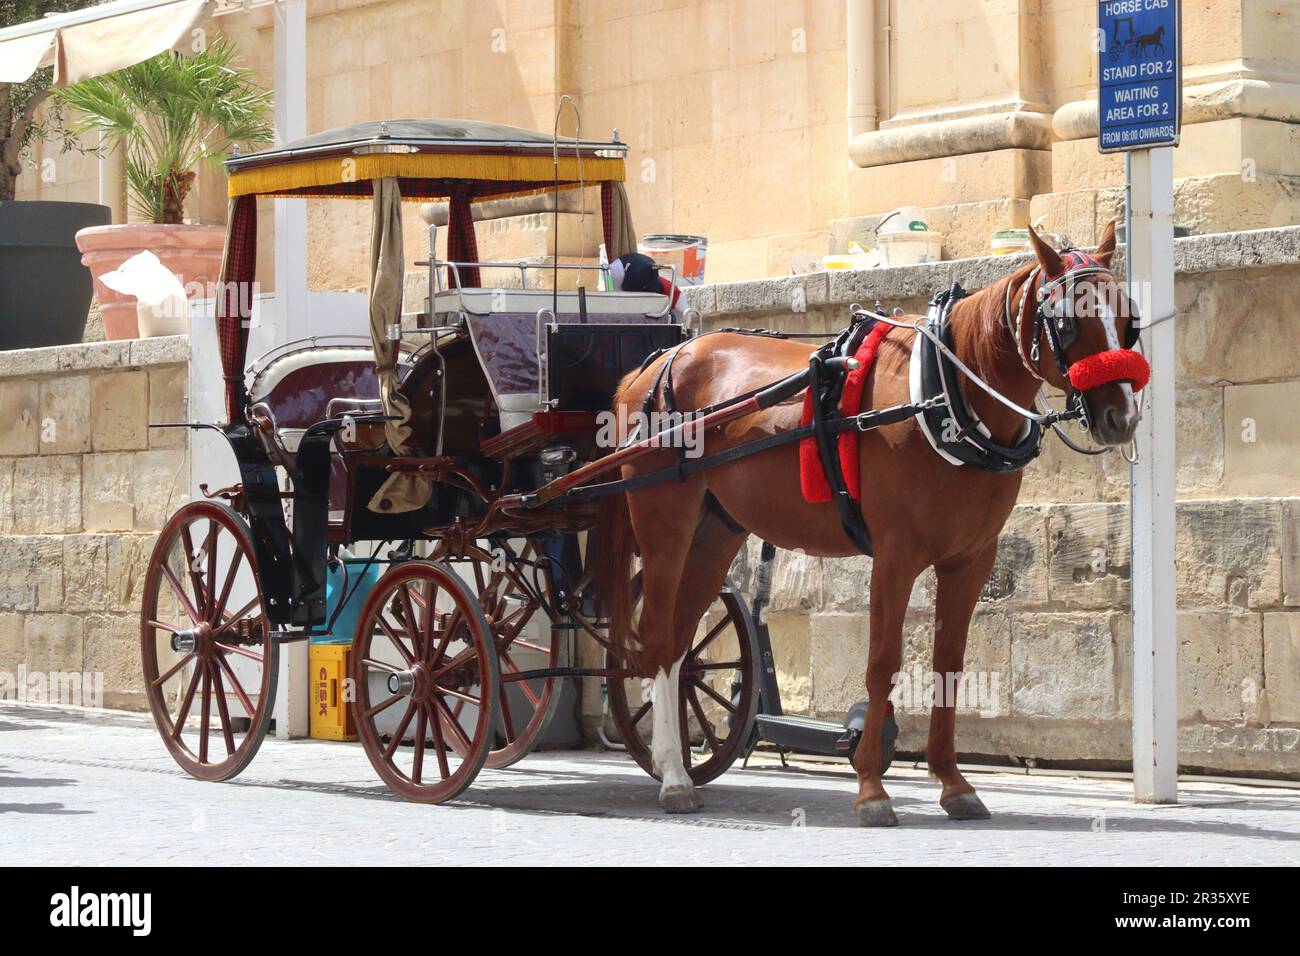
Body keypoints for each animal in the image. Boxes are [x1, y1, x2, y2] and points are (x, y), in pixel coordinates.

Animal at [592, 221, 1144, 825]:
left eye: (1128, 319)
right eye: (1068, 320)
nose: (1120, 417)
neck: (944, 394)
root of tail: (656, 363)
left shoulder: (970, 561)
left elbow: (949, 664)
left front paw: (953, 783)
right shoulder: (895, 556)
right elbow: (883, 662)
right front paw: (871, 788)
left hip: (715, 533)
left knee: (678, 645)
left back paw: (675, 765)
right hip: (665, 526)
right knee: (656, 638)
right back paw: (672, 775)